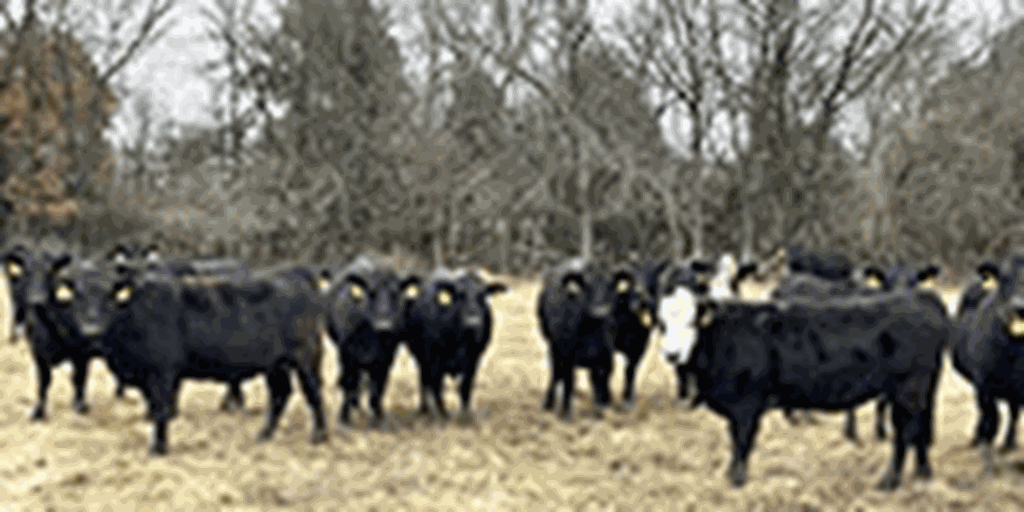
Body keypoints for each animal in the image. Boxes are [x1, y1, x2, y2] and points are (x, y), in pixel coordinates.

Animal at [75, 259, 329, 455]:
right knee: (280, 393)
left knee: (313, 392)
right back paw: (265, 434)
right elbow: (154, 409)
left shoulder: (162, 372)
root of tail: (293, 272)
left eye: (108, 294)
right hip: (275, 365)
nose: (90, 329)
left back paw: (320, 435)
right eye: (79, 295)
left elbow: (161, 409)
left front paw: (159, 448)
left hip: (306, 356)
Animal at [325, 255, 422, 432]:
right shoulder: (347, 355)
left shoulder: (386, 360)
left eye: (395, 294)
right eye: (371, 292)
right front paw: (344, 418)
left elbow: (377, 390)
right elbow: (349, 385)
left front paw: (377, 419)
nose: (384, 326)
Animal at [405, 267, 508, 424]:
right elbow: (437, 386)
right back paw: (424, 409)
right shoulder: (435, 359)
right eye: (459, 295)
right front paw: (443, 415)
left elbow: (465, 387)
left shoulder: (474, 360)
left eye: (482, 295)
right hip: (420, 356)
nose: (472, 323)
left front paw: (466, 415)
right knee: (424, 381)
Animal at [670, 284, 950, 490]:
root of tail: (919, 296)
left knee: (905, 432)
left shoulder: (747, 404)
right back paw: (923, 473)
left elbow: (742, 440)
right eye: (663, 322)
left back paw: (890, 480)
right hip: (921, 389)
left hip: (907, 389)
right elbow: (735, 439)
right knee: (920, 429)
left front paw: (737, 479)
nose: (672, 354)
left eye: (692, 322)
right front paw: (730, 474)